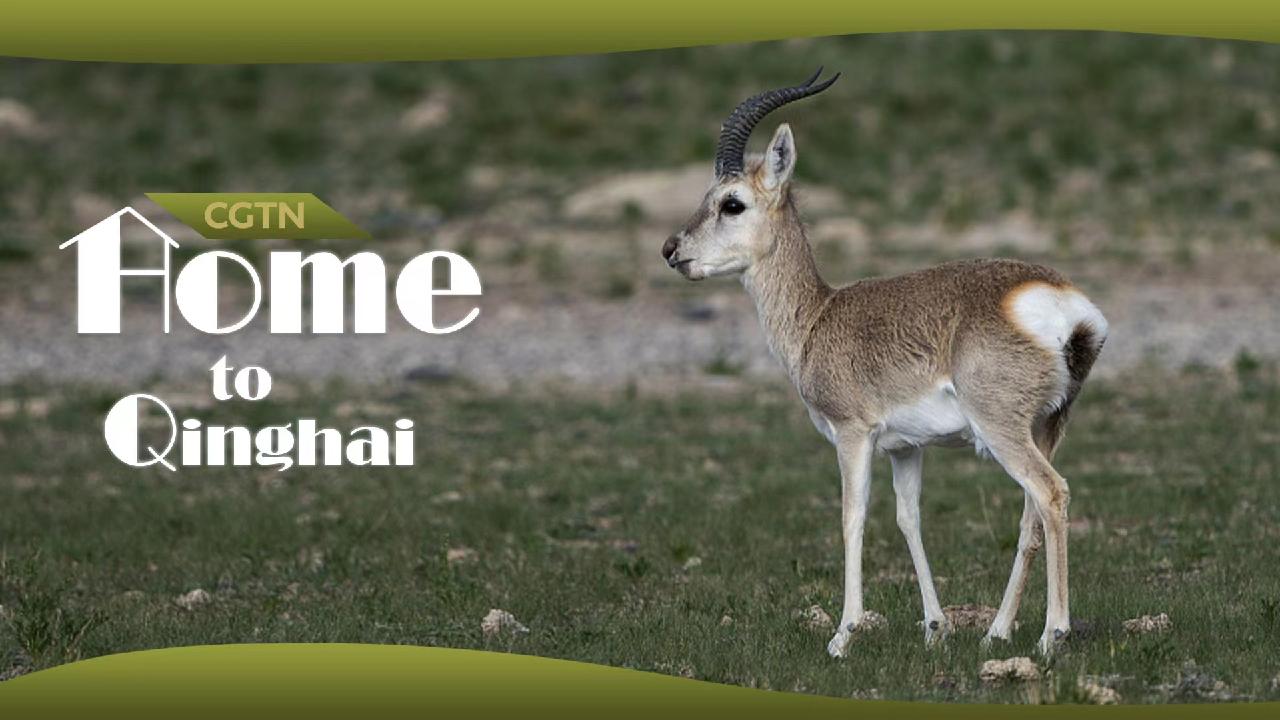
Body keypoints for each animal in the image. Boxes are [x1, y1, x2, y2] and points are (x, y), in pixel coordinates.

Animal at [660, 69, 1107, 657]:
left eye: (731, 203)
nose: (672, 250)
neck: (818, 317)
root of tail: (1066, 307)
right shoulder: (905, 448)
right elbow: (907, 519)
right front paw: (935, 627)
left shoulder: (853, 434)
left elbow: (853, 517)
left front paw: (842, 635)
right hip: (1047, 426)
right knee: (1030, 516)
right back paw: (995, 632)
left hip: (1002, 429)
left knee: (1051, 494)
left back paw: (1050, 635)